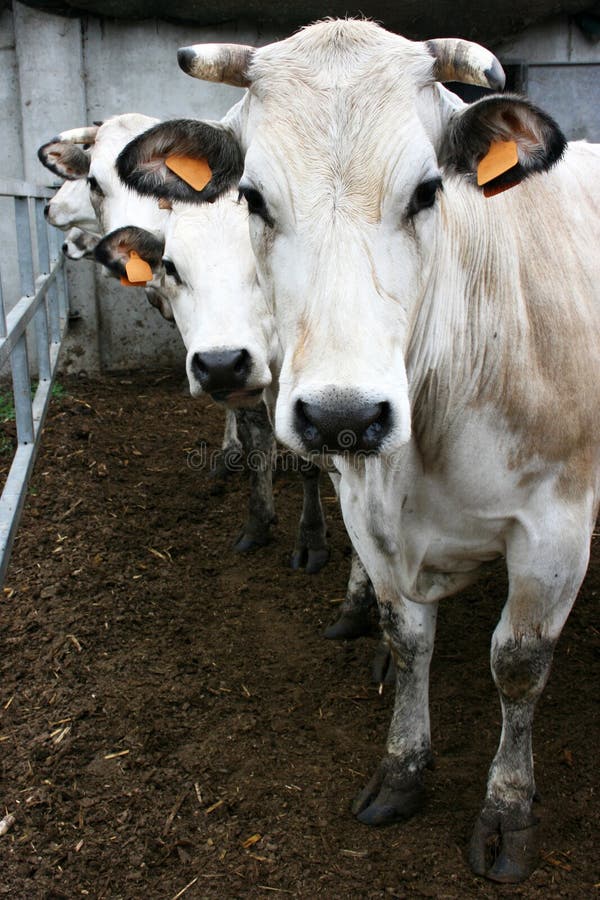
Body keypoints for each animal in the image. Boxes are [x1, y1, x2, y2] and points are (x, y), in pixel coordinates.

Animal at [115, 19, 600, 883]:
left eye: (428, 191)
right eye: (253, 197)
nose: (345, 414)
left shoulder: (557, 526)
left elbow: (518, 664)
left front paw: (507, 808)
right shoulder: (366, 507)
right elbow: (405, 636)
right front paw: (402, 769)